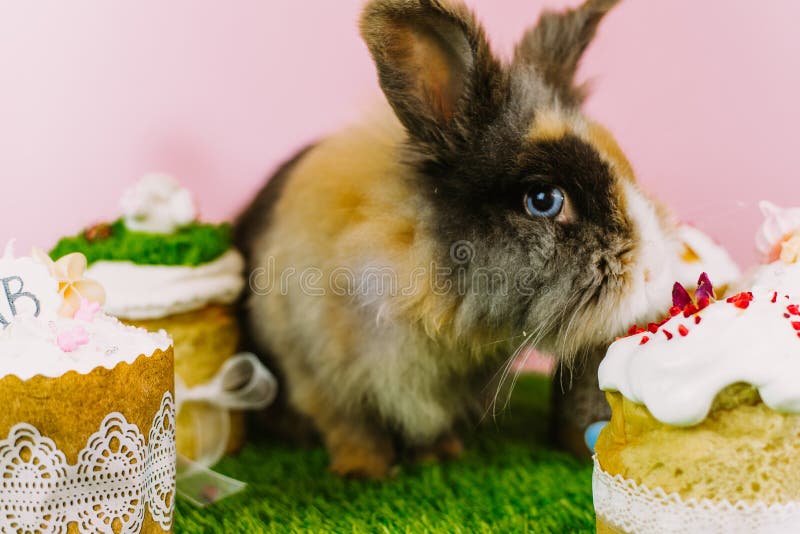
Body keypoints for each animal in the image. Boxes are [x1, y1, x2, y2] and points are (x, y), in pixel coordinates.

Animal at [235, 0, 680, 477]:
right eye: (544, 199)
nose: (653, 271)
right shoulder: (320, 374)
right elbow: (353, 429)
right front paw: (364, 473)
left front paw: (438, 455)